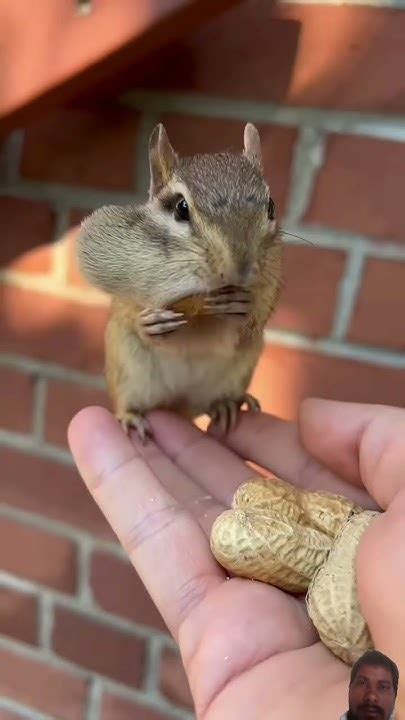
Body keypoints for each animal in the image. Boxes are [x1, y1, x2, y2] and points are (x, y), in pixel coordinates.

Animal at [76, 122, 283, 441]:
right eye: (180, 208)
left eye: (270, 206)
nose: (240, 268)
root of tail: (178, 407)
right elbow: (131, 309)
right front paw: (148, 323)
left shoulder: (271, 278)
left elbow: (258, 316)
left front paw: (243, 305)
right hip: (127, 372)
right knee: (127, 401)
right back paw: (130, 417)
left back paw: (227, 404)